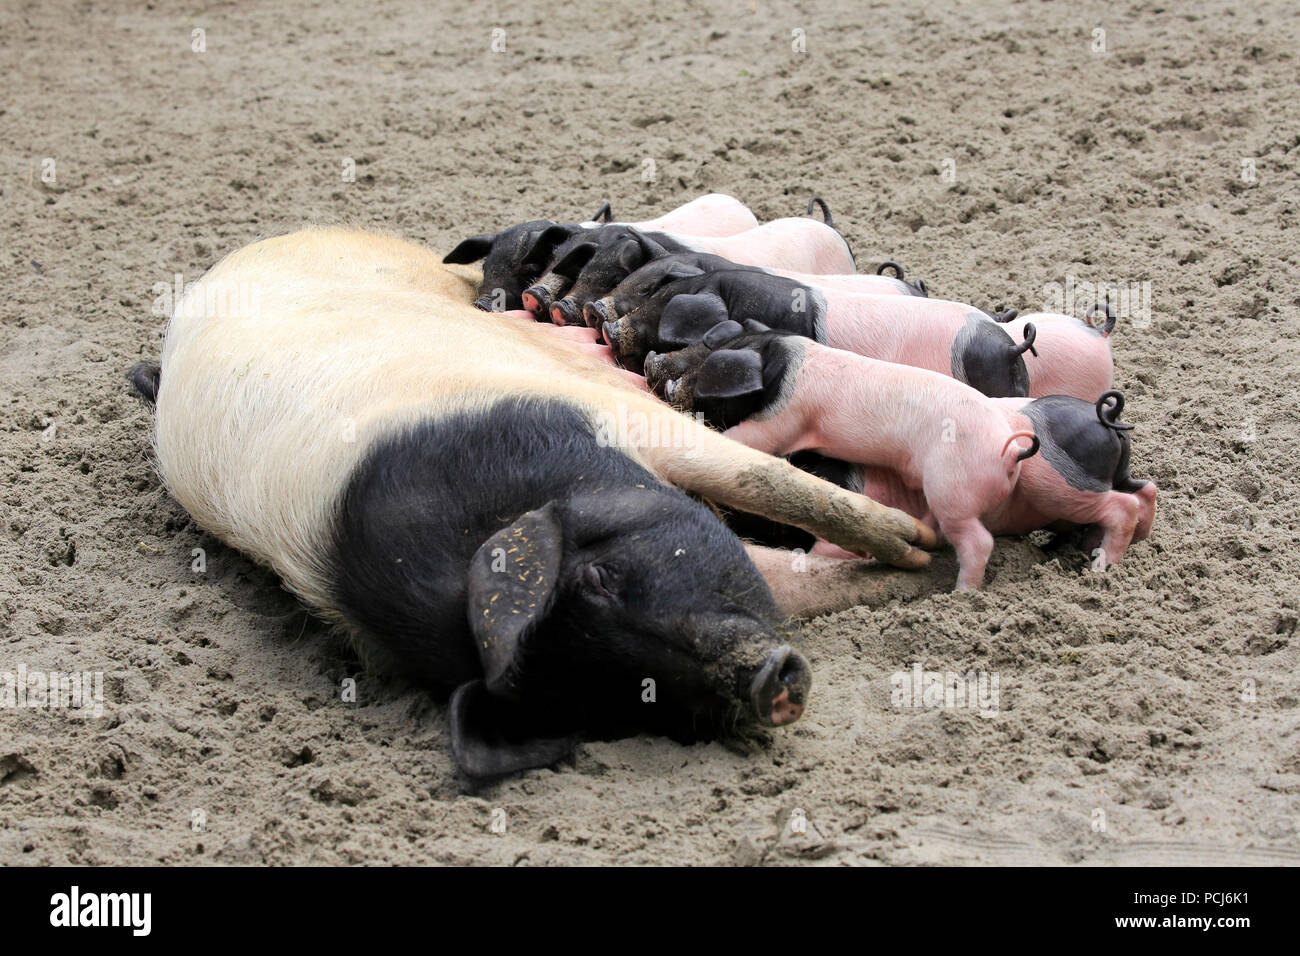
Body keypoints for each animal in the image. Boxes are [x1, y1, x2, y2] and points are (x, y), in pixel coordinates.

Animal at [643, 324, 1040, 589]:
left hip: (953, 486)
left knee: (977, 541)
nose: (649, 364)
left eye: (703, 382)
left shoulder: (784, 417)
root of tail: (1009, 451)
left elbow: (749, 439)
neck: (780, 365)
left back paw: (961, 593)